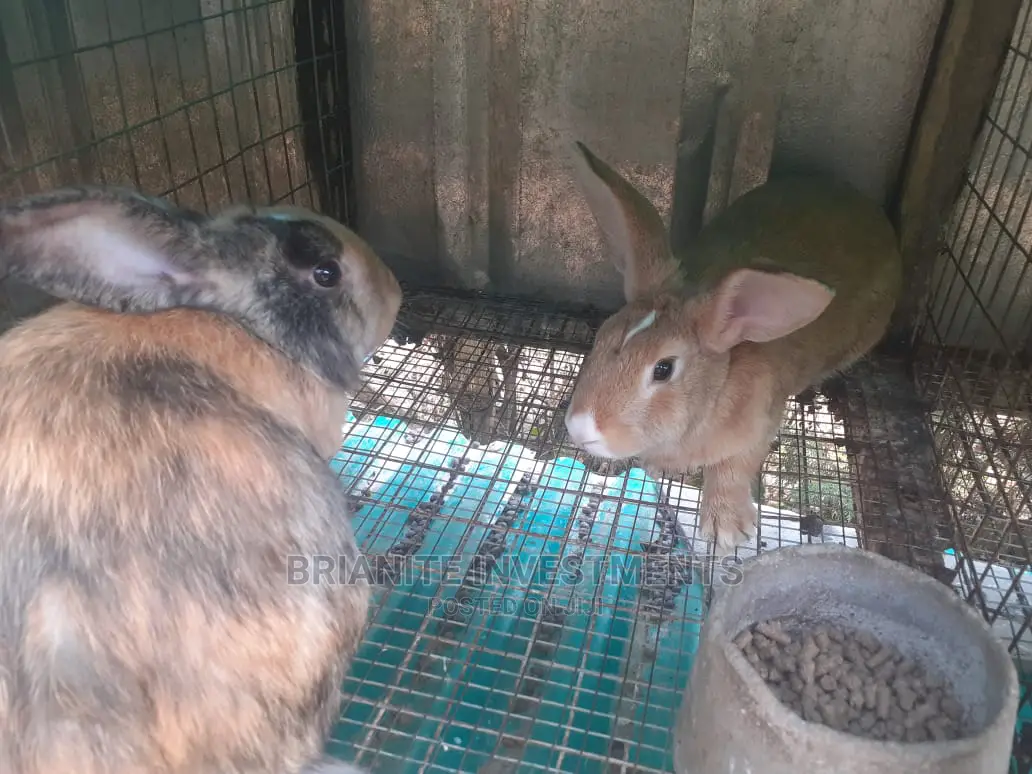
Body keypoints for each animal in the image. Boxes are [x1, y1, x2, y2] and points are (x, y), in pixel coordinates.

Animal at [563, 142, 902, 554]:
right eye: (603, 336)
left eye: (663, 369)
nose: (580, 427)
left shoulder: (759, 427)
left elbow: (733, 469)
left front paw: (726, 530)